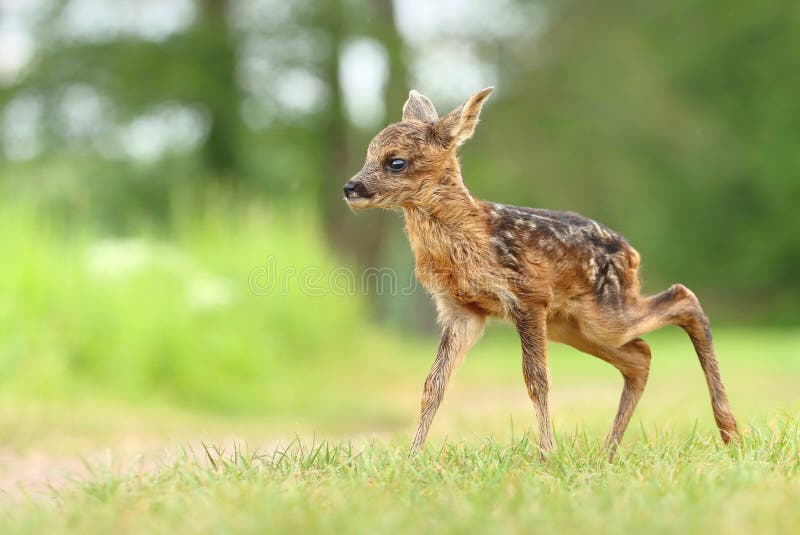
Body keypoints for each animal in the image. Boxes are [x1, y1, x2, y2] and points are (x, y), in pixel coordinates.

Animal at [342, 87, 739, 460]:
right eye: (367, 154)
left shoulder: (527, 295)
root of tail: (632, 254)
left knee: (683, 298)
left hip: (603, 313)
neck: (471, 236)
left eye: (396, 161)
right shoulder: (462, 309)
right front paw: (412, 456)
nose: (350, 187)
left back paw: (729, 433)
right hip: (573, 324)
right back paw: (608, 452)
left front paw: (548, 454)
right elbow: (434, 384)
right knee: (641, 355)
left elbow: (536, 380)